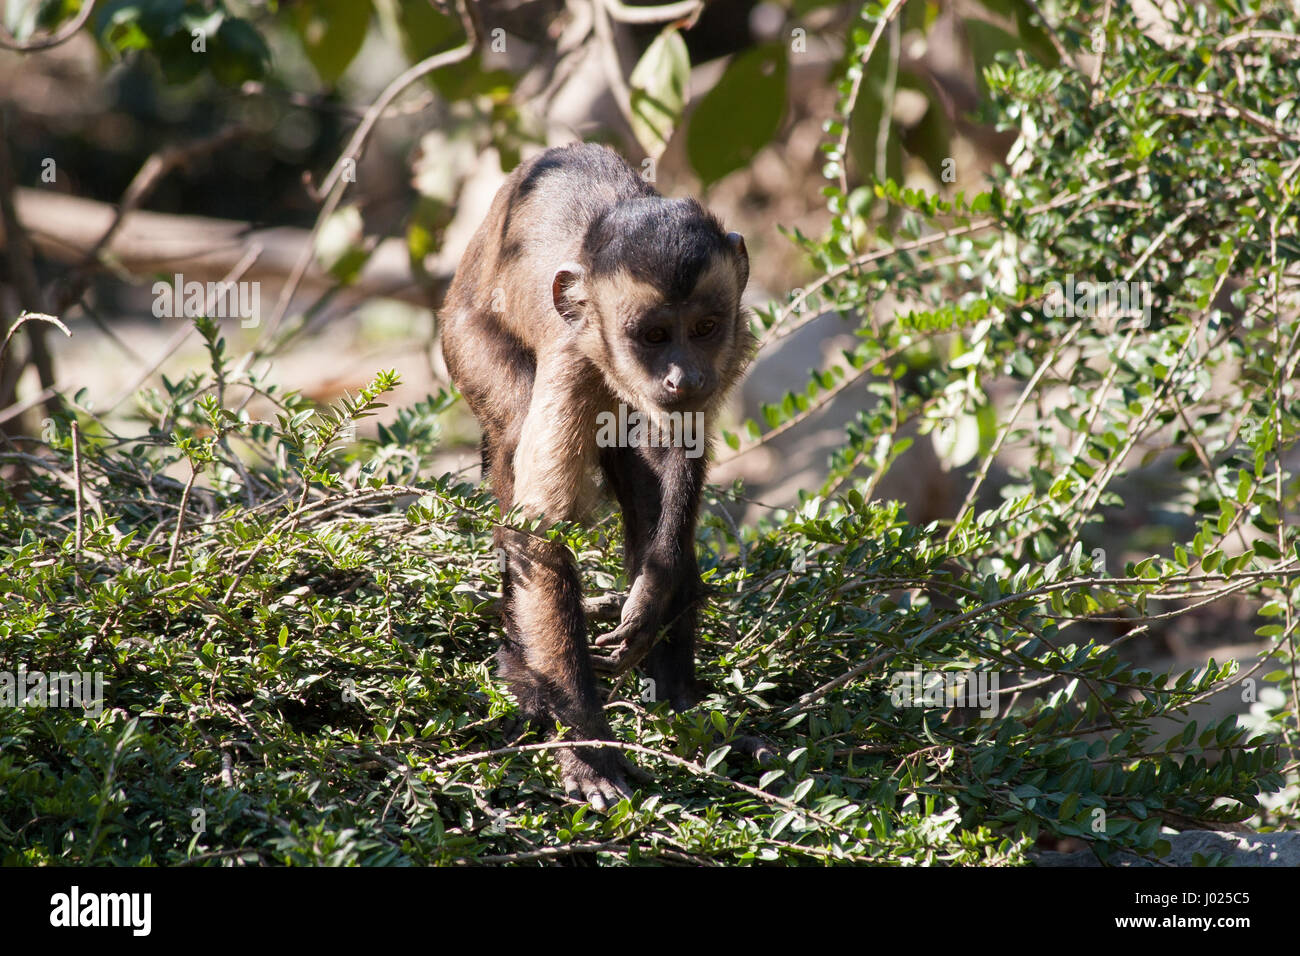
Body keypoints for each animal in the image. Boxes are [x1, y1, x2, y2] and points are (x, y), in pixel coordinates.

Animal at [441, 143, 759, 806]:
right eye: (654, 335)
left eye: (706, 328)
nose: (684, 375)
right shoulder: (571, 358)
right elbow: (539, 536)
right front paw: (586, 745)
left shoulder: (731, 348)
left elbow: (676, 454)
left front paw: (654, 588)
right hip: (463, 334)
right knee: (513, 423)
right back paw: (527, 677)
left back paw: (679, 698)